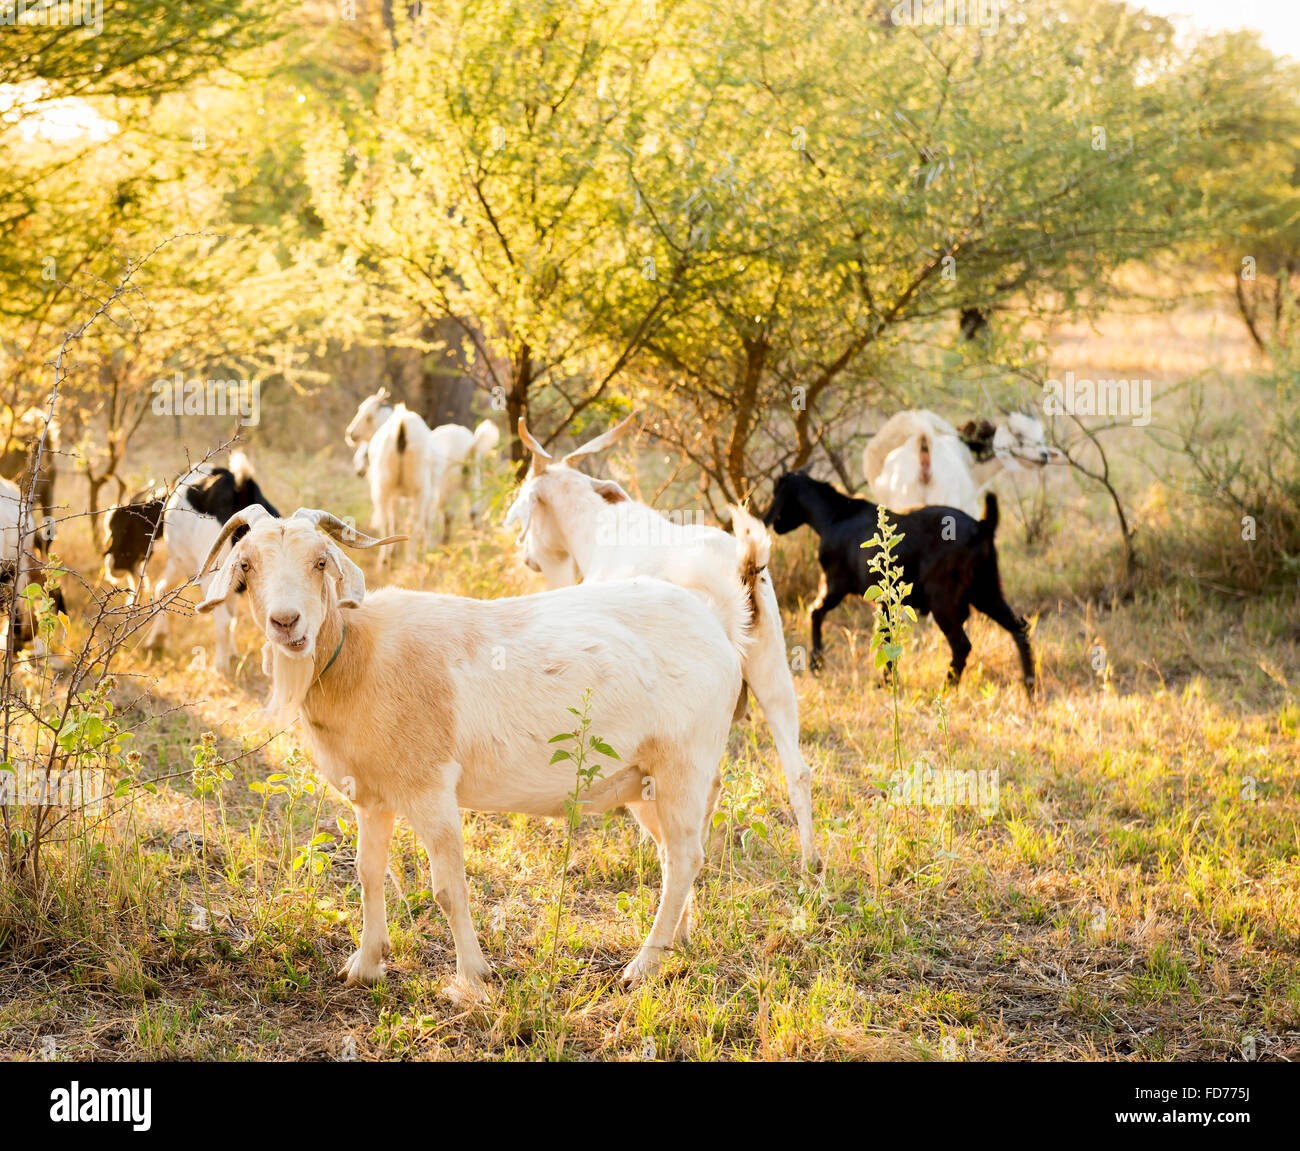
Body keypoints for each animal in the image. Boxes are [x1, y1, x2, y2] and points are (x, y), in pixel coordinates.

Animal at [146, 452, 280, 673]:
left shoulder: (178, 561)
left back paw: (220, 667)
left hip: (212, 574)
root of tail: (240, 488)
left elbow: (162, 588)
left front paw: (156, 640)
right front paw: (233, 653)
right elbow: (233, 614)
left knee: (222, 621)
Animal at [194, 505, 754, 996]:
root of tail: (719, 627)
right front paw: (365, 966)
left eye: (319, 561)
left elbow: (448, 887)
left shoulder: (431, 788)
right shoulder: (372, 798)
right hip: (646, 781)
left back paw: (642, 966)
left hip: (683, 765)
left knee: (685, 857)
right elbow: (368, 875)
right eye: (247, 565)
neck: (359, 654)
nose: (286, 622)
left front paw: (472, 979)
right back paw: (678, 942)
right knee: (674, 856)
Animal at [503, 414, 820, 872]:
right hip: (772, 670)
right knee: (794, 771)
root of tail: (742, 572)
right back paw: (810, 864)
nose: (527, 556)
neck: (600, 529)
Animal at [764, 470, 1035, 694]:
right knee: (1019, 627)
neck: (833, 515)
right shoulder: (881, 601)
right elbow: (885, 638)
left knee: (962, 645)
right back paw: (1030, 687)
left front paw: (816, 664)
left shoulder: (834, 584)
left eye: (777, 493)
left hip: (943, 597)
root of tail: (982, 527)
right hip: (986, 590)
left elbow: (815, 612)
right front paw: (886, 682)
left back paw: (945, 689)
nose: (774, 524)